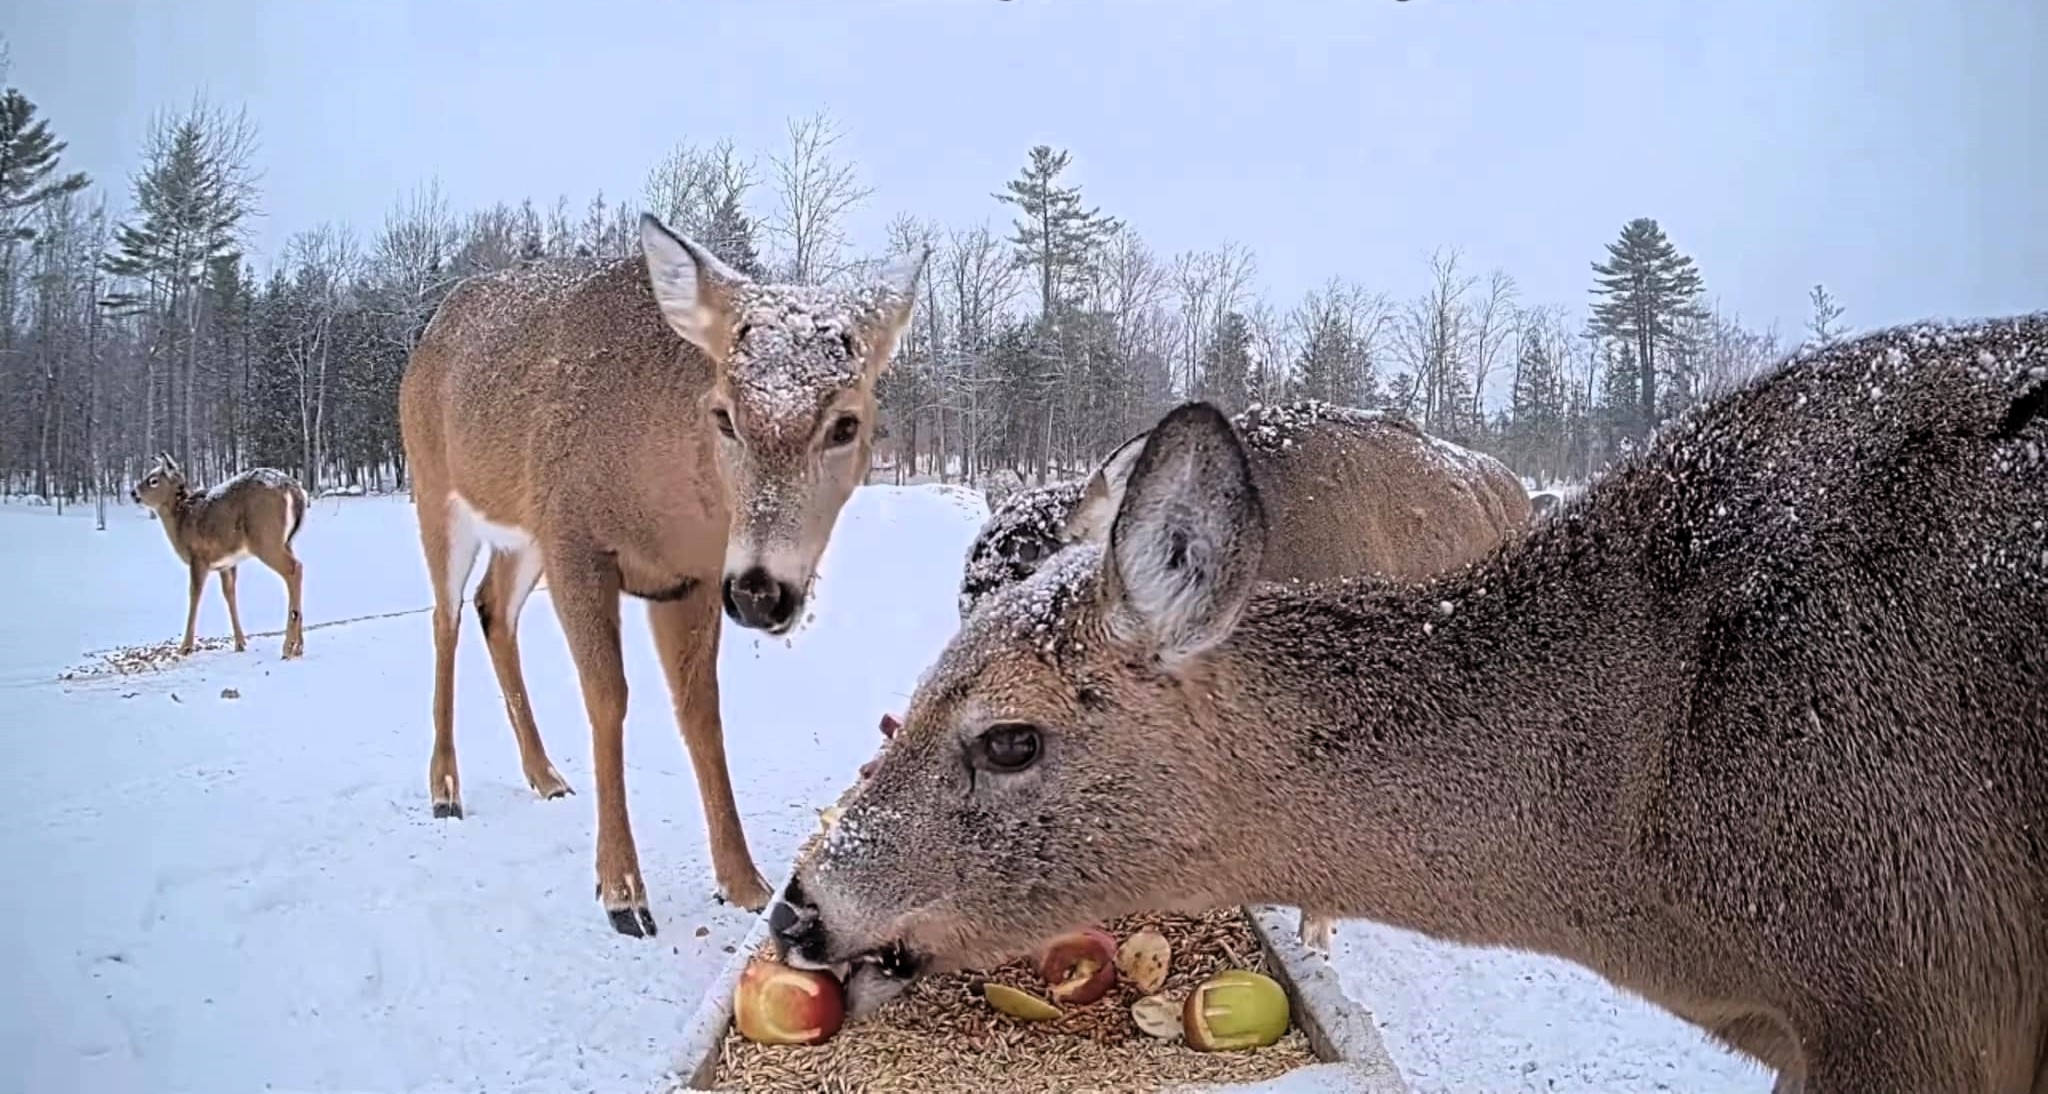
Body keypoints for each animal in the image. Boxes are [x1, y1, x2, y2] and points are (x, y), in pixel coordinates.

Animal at [130, 453, 309, 659]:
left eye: (153, 480)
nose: (133, 493)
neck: (182, 519)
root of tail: (294, 488)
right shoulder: (227, 563)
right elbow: (229, 594)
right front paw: (240, 642)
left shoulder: (198, 556)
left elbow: (194, 594)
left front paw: (185, 647)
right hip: (286, 541)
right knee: (297, 570)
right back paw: (299, 646)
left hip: (265, 539)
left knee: (294, 569)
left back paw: (289, 647)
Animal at [397, 214, 926, 937]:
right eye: (723, 413)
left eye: (846, 423)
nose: (761, 592)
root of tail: (431, 331)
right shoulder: (576, 541)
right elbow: (608, 698)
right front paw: (623, 893)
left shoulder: (689, 580)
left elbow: (701, 710)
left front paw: (745, 883)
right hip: (436, 487)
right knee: (444, 615)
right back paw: (445, 789)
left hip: (522, 531)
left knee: (491, 608)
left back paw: (546, 775)